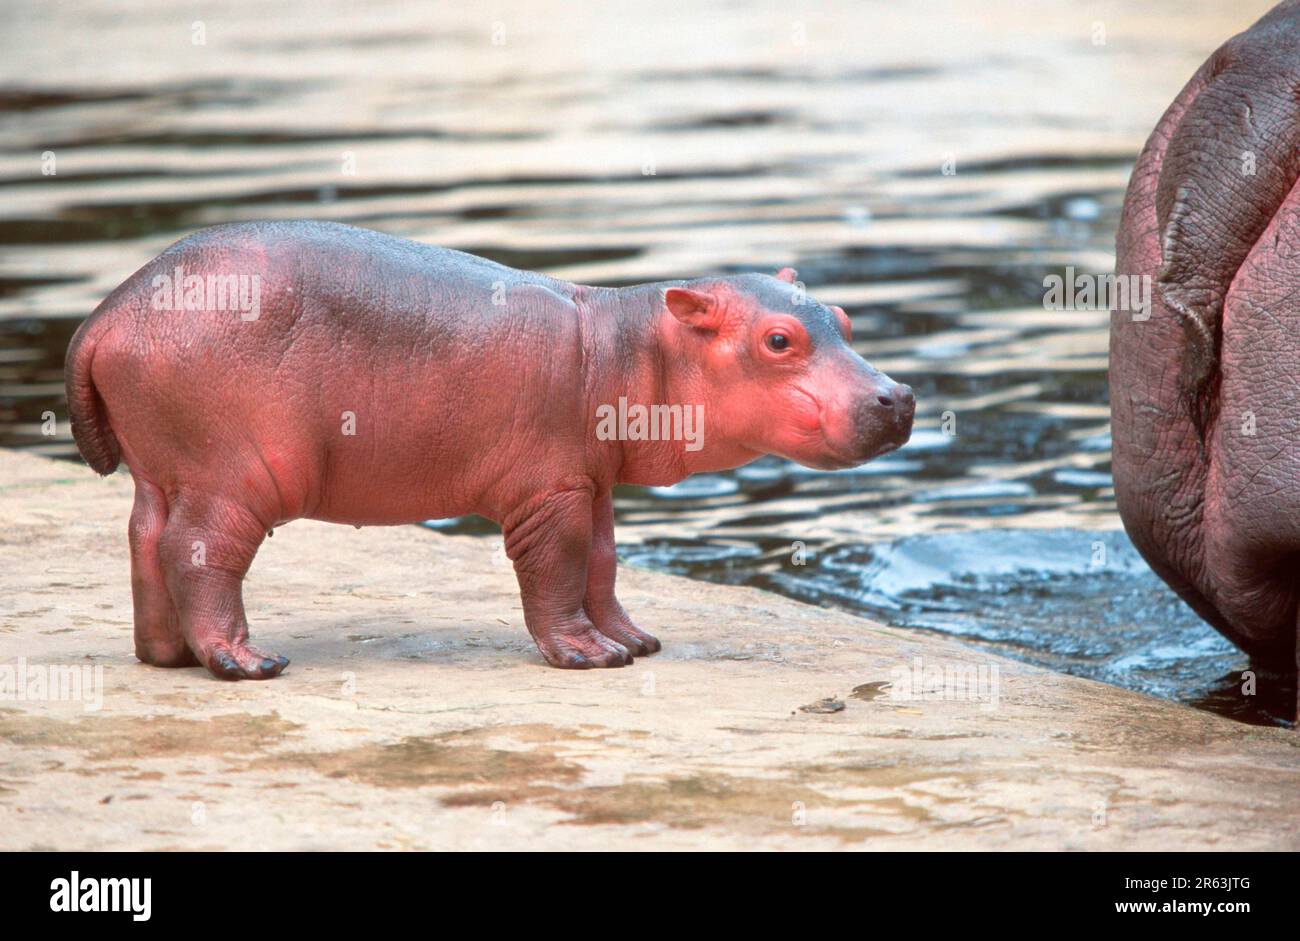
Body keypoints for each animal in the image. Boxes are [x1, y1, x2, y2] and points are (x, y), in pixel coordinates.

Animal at [65, 220, 914, 679]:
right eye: (780, 339)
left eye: (843, 317)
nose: (899, 396)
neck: (628, 344)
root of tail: (108, 310)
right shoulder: (549, 492)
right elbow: (558, 570)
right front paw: (589, 656)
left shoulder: (590, 484)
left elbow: (602, 564)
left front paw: (634, 640)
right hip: (239, 473)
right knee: (199, 549)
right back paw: (248, 662)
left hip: (164, 467)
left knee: (145, 536)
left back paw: (168, 655)